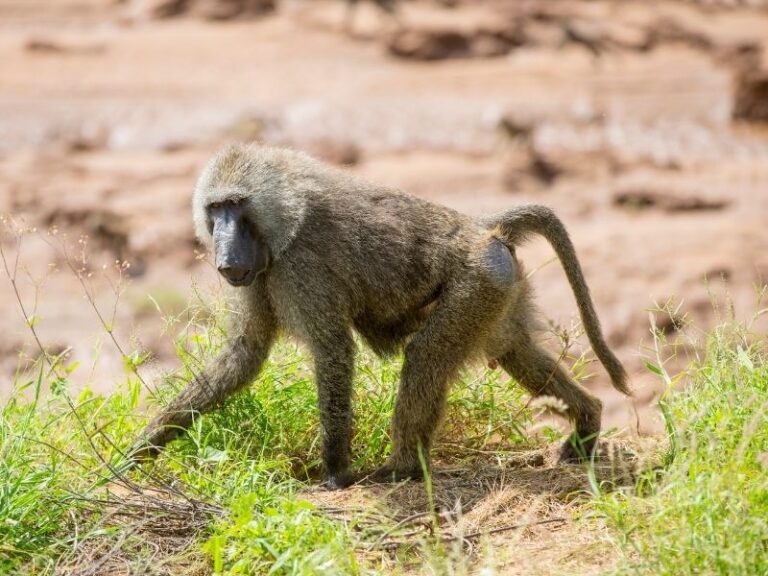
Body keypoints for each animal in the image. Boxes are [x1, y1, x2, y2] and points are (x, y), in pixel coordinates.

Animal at [129, 143, 630, 489]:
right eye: (215, 210)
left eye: (236, 206)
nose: (226, 257)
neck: (285, 211)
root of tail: (482, 226)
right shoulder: (259, 275)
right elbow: (244, 355)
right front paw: (142, 448)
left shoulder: (301, 266)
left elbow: (333, 350)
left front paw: (335, 471)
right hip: (500, 285)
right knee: (515, 350)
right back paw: (587, 423)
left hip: (477, 280)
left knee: (427, 356)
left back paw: (401, 467)